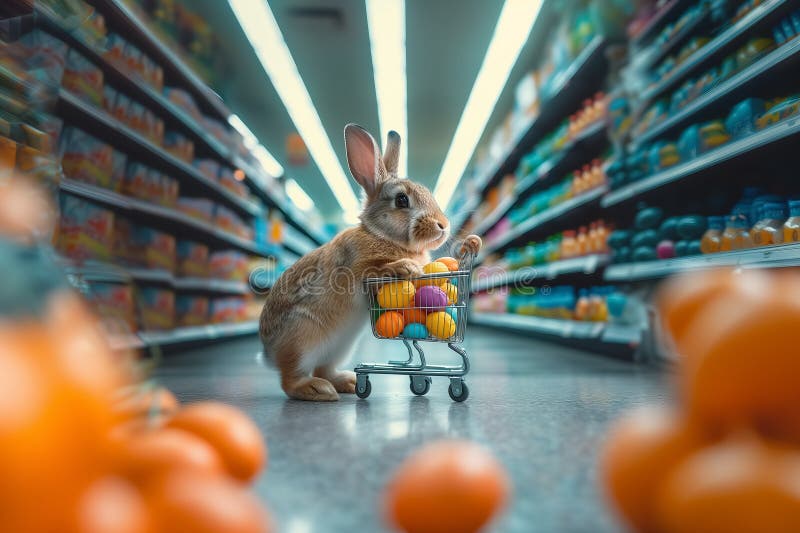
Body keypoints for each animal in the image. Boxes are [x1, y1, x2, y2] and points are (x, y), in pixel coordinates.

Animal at [259, 124, 482, 401]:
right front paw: (405, 267)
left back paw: (348, 382)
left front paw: (472, 243)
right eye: (401, 200)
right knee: (290, 379)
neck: (381, 234)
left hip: (339, 347)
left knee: (324, 368)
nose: (443, 225)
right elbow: (374, 269)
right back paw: (317, 389)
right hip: (302, 339)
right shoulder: (356, 270)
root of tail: (268, 352)